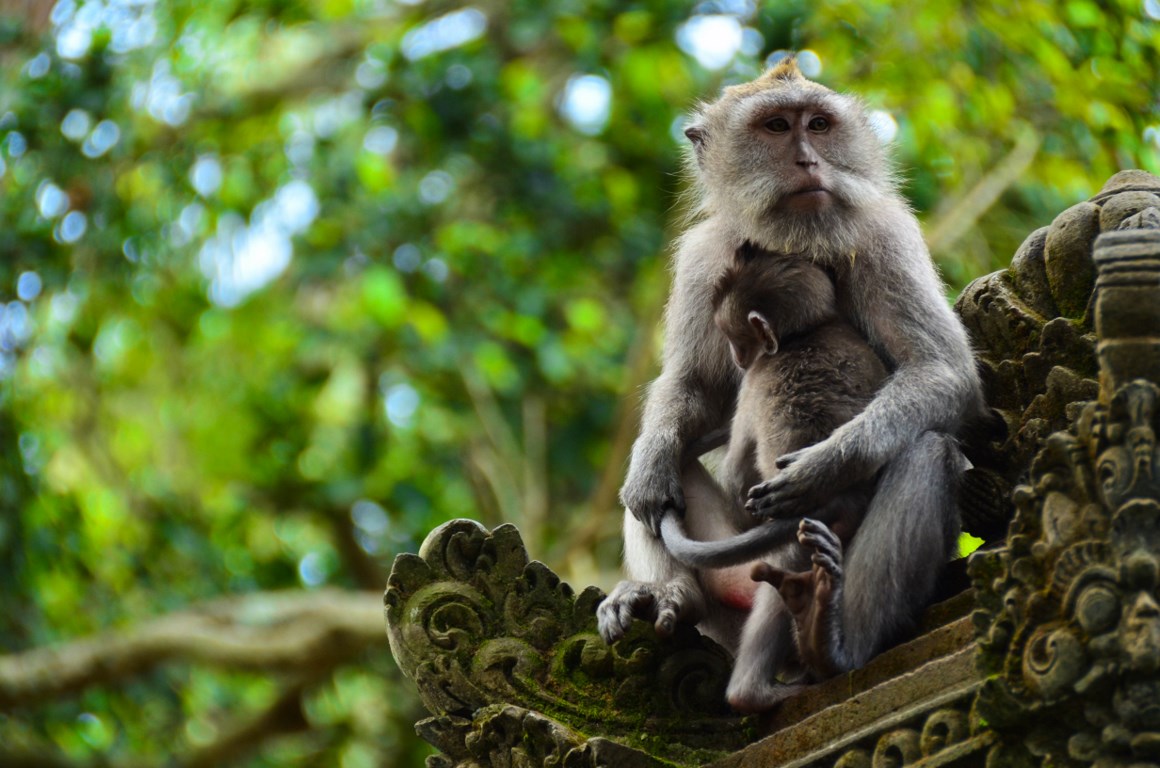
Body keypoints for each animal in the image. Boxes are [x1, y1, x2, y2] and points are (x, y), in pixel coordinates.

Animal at [595, 57, 981, 712]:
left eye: (818, 125)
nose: (808, 160)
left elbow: (943, 369)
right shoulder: (702, 257)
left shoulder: (884, 235)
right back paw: (666, 595)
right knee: (664, 481)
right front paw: (651, 468)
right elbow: (691, 390)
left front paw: (824, 465)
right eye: (777, 126)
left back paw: (833, 640)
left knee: (927, 450)